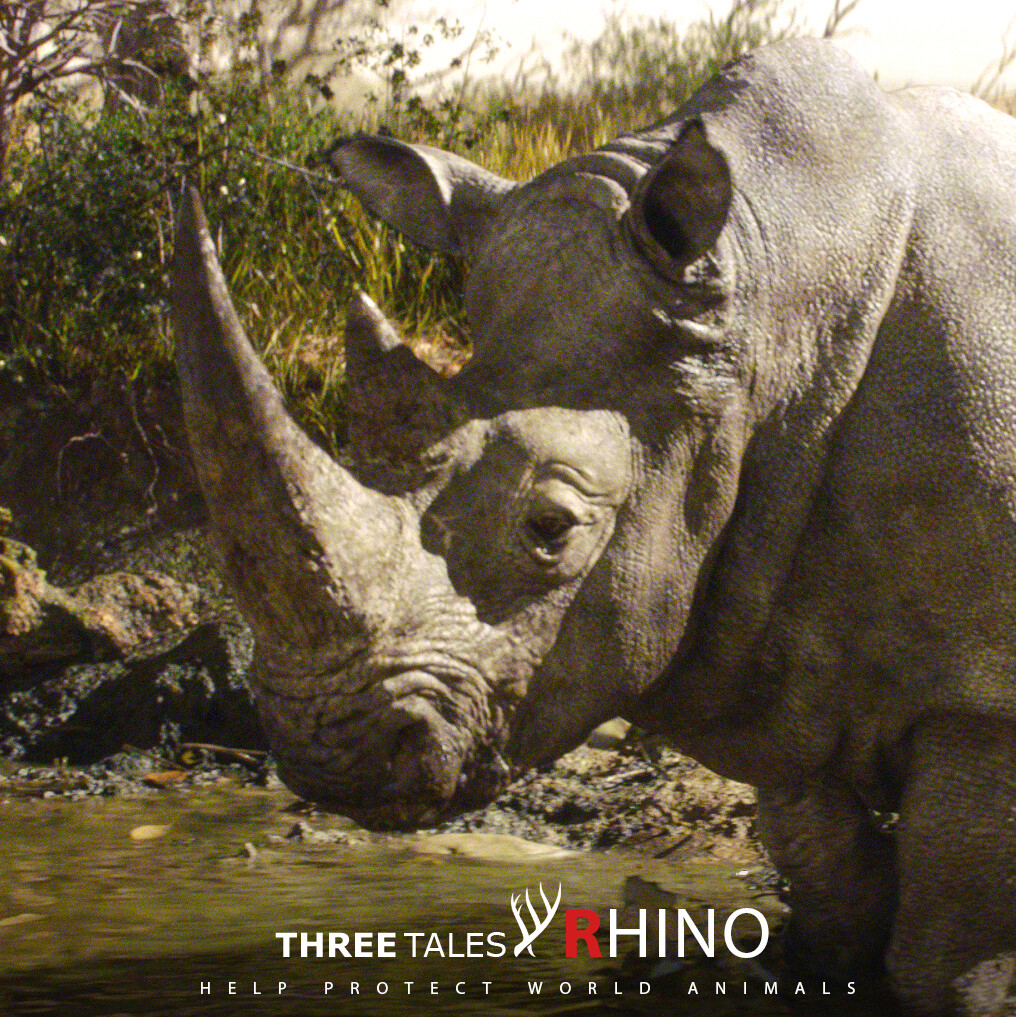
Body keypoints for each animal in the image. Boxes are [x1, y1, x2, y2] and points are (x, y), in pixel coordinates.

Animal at [172, 37, 1016, 1016]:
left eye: (552, 526)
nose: (324, 753)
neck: (769, 317)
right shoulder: (762, 637)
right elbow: (831, 875)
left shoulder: (984, 690)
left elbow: (944, 947)